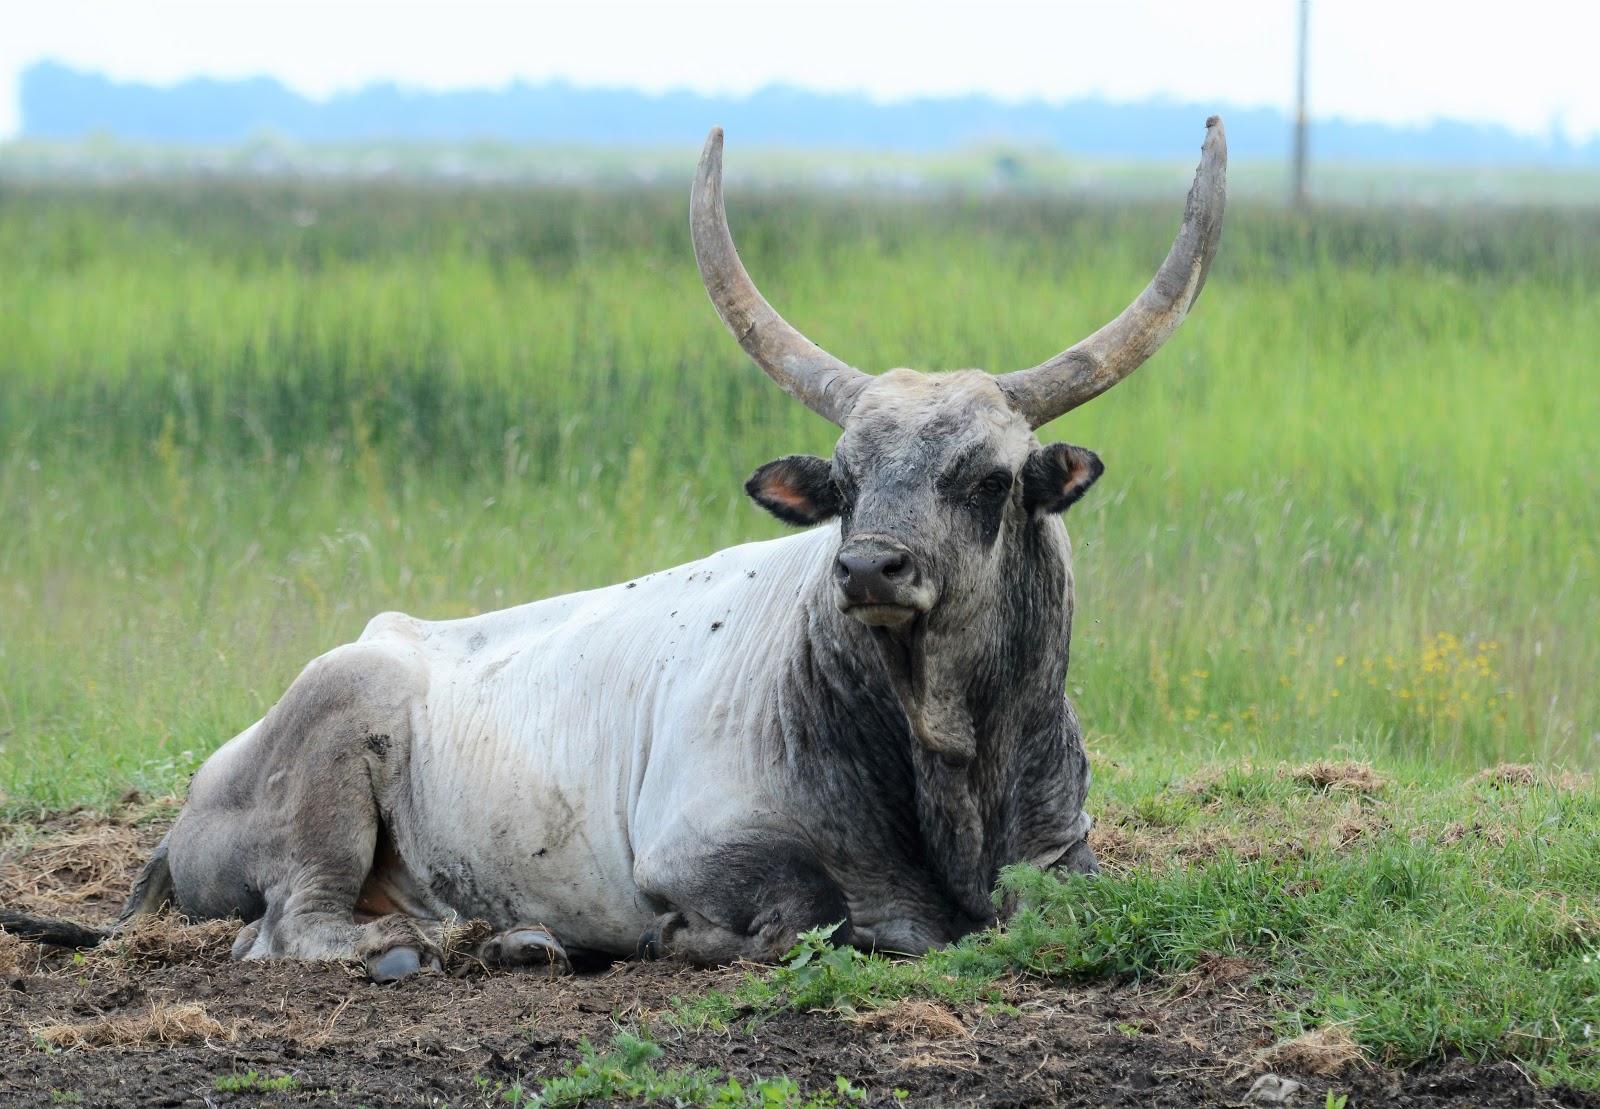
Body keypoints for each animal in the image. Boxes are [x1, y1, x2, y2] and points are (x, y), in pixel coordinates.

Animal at [2, 120, 1225, 982]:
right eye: (842, 481)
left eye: (987, 477)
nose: (870, 568)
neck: (942, 757)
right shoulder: (703, 852)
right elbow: (822, 918)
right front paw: (672, 939)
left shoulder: (1067, 854)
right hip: (332, 753)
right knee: (289, 929)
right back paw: (444, 947)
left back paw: (516, 937)